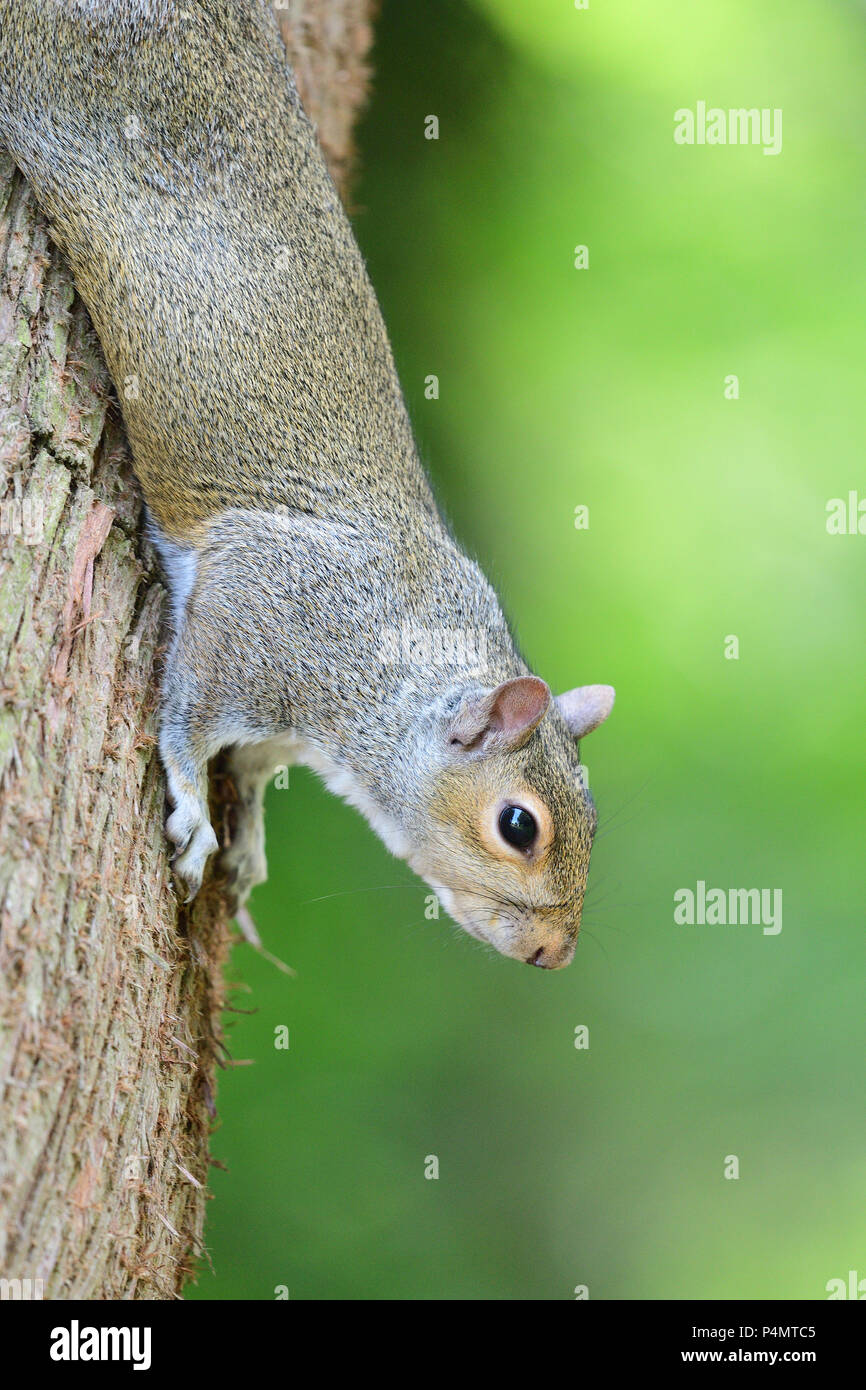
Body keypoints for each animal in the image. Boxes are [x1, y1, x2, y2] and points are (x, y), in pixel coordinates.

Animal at [0, 0, 614, 969]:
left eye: (595, 819)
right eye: (520, 825)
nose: (554, 955)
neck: (390, 661)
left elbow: (249, 769)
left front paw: (247, 834)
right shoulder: (259, 616)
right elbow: (188, 719)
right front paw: (194, 813)